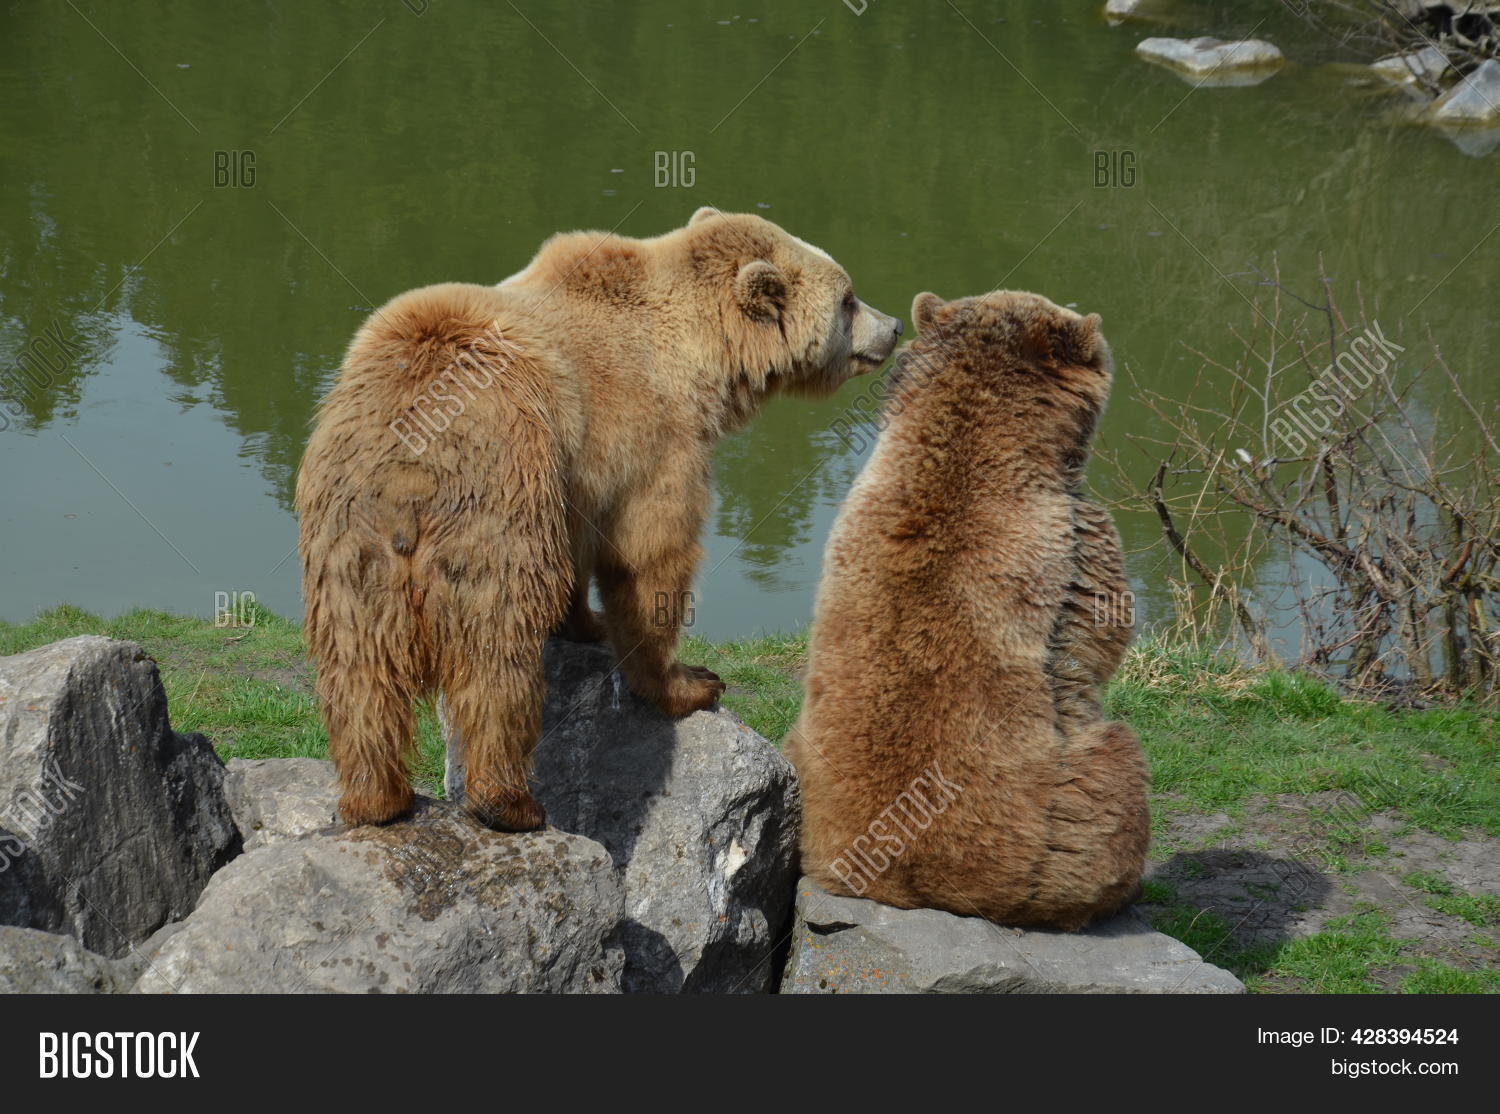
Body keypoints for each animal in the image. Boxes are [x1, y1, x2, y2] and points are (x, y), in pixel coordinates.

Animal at [297, 208, 902, 831]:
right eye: (848, 299)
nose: (895, 326)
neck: (697, 356)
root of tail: (408, 462)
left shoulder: (580, 483)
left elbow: (583, 554)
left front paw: (584, 624)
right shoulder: (648, 434)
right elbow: (650, 556)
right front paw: (689, 682)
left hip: (347, 529)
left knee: (357, 666)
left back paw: (375, 797)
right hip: (493, 495)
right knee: (496, 650)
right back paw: (507, 801)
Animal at [784, 289, 1149, 931]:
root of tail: (916, 885)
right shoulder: (1079, 539)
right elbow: (1106, 624)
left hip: (801, 762)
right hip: (1072, 812)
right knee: (1119, 770)